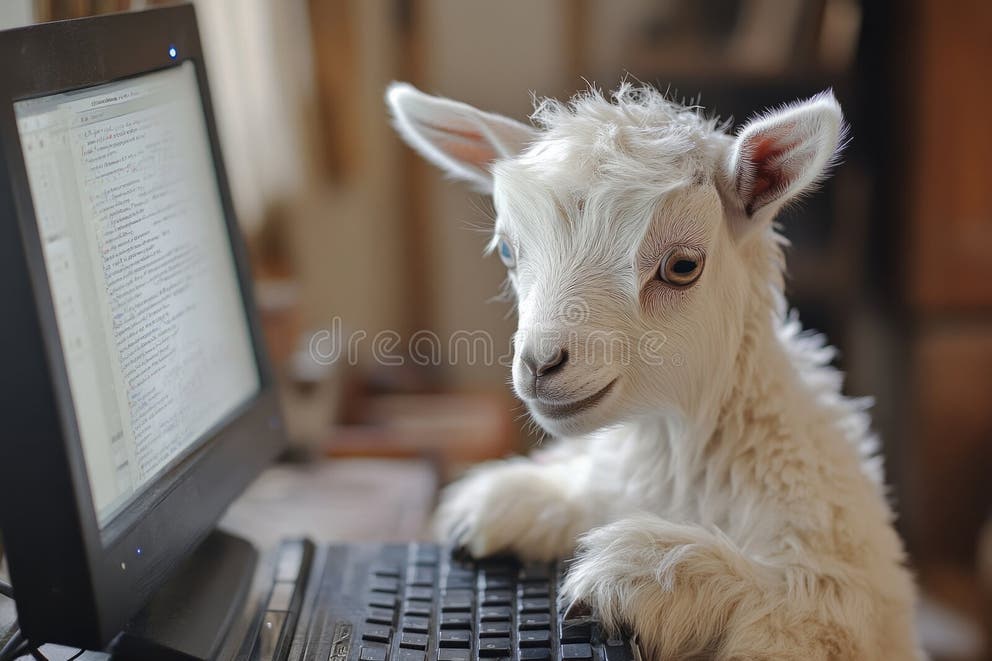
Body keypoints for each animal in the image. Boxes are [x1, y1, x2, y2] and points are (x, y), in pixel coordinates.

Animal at [386, 82, 923, 660]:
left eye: (682, 266)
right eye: (508, 250)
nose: (540, 364)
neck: (679, 457)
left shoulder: (839, 594)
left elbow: (796, 612)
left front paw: (637, 573)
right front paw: (505, 504)